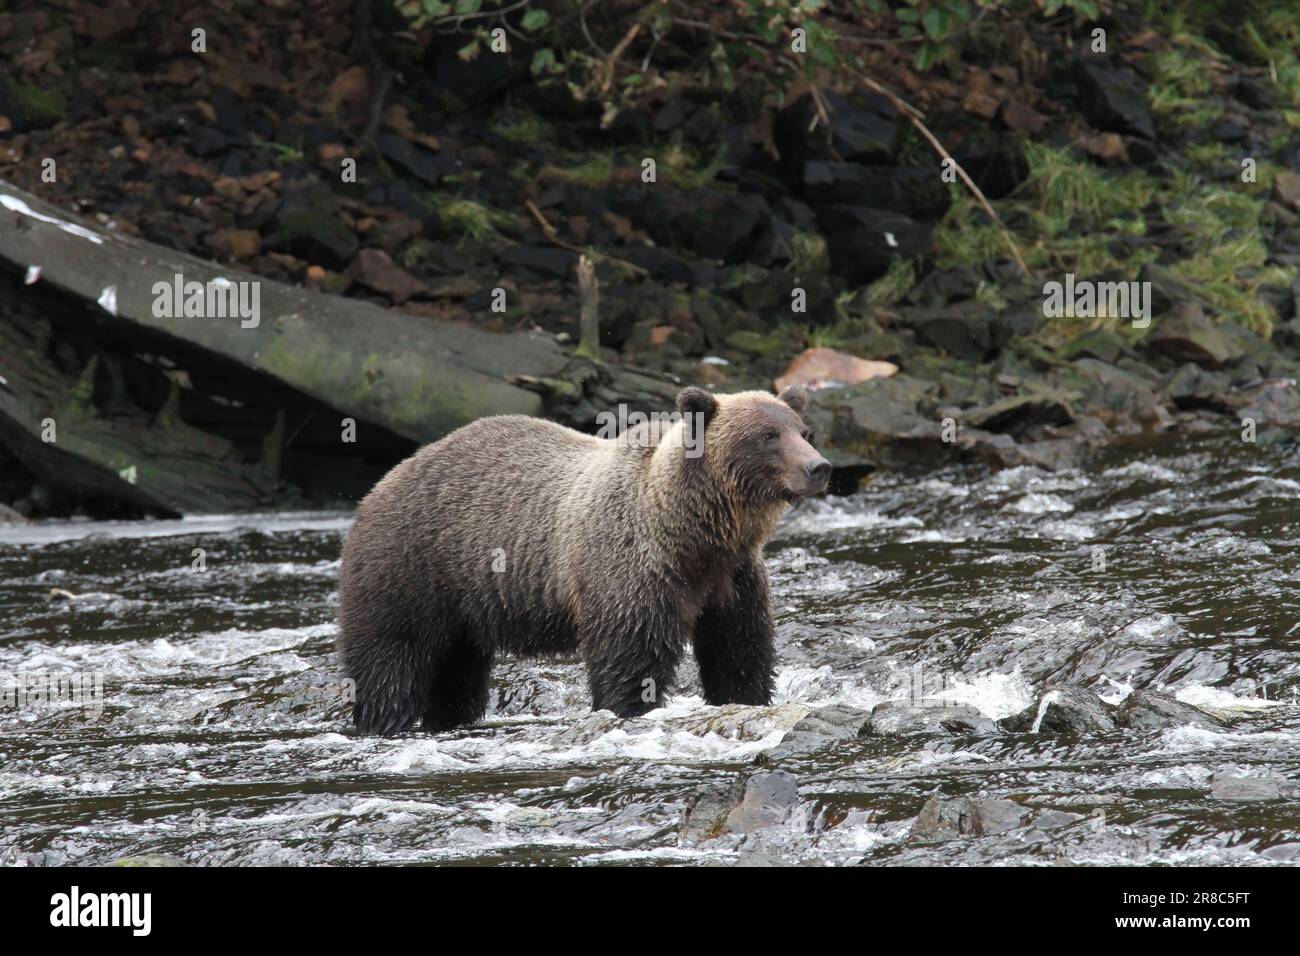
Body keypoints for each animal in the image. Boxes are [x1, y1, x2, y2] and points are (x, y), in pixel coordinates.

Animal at [336, 384, 830, 734]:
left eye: (803, 431)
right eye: (768, 436)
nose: (819, 467)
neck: (694, 534)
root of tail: (383, 482)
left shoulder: (733, 577)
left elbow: (739, 650)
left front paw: (746, 698)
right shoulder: (632, 567)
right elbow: (631, 658)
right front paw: (627, 708)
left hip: (463, 602)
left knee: (457, 672)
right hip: (410, 566)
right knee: (391, 659)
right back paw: (385, 720)